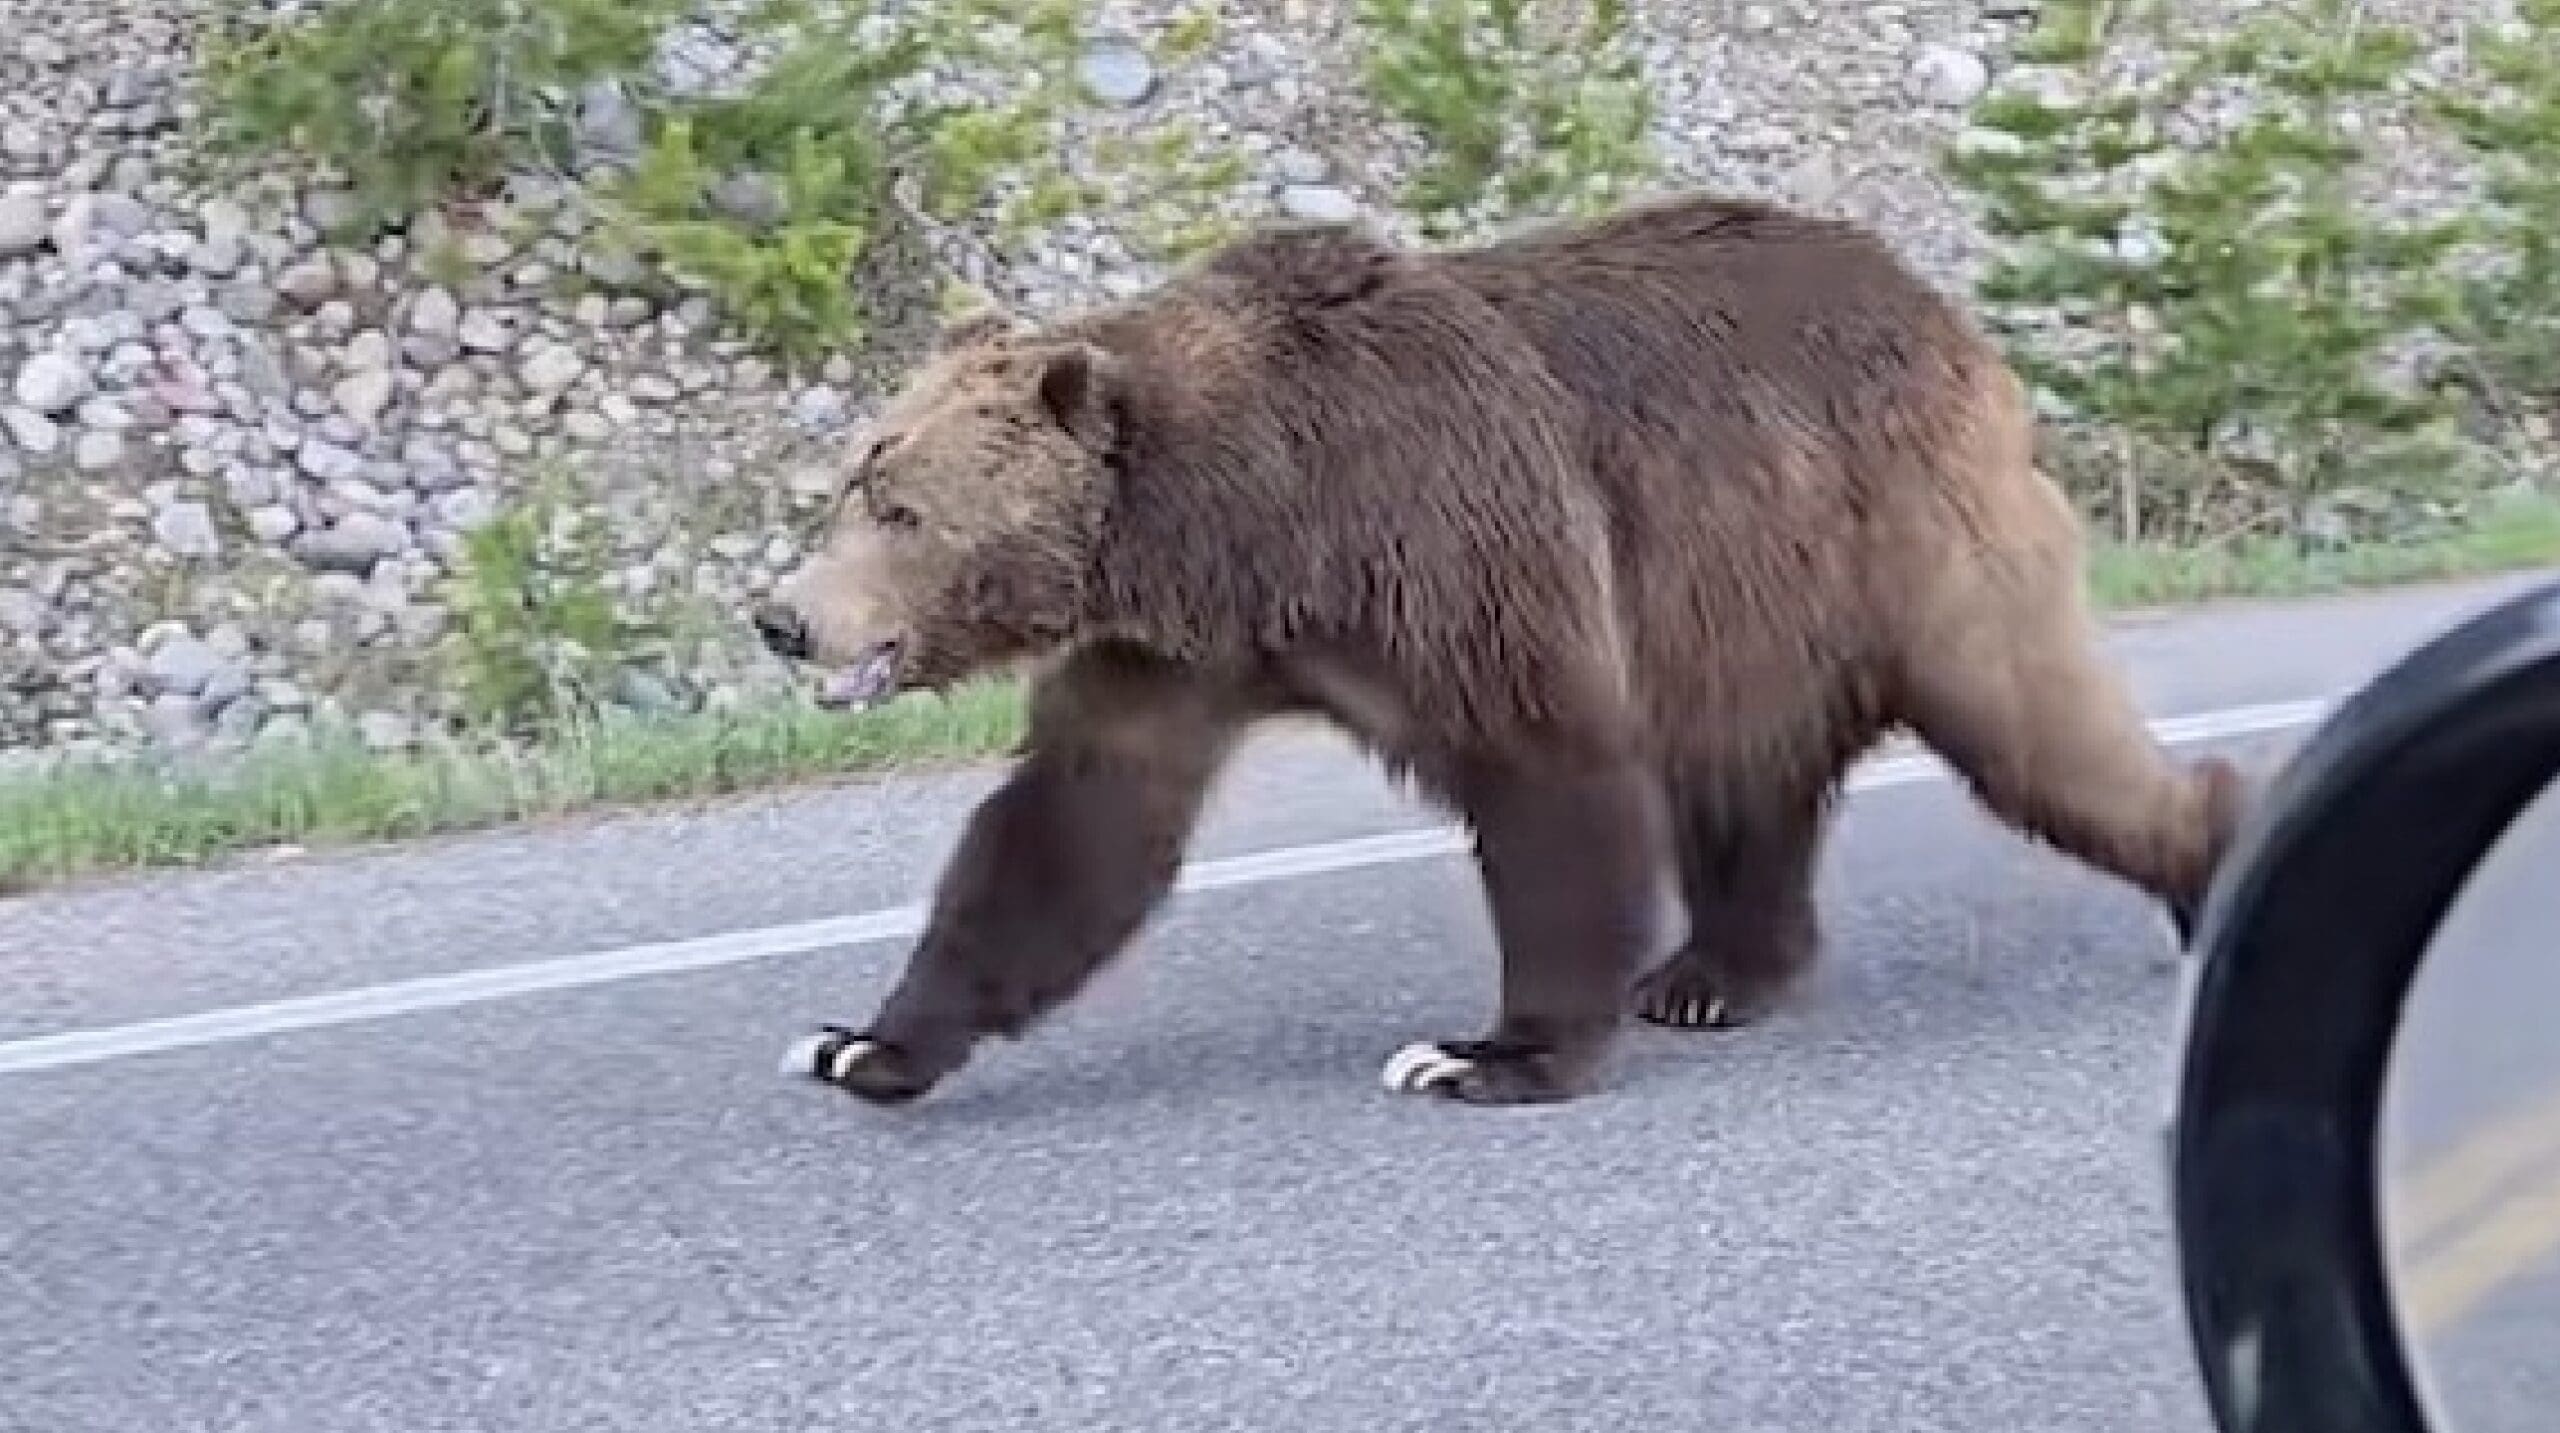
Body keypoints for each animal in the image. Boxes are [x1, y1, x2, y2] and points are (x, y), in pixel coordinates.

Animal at [752, 189, 2250, 1110]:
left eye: (900, 504)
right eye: (851, 479)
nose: (782, 616)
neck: (1252, 523)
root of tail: (1937, 306)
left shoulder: (1454, 541)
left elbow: (1549, 769)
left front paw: (1487, 1053)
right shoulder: (1170, 651)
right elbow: (1073, 824)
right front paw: (864, 1039)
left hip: (1902, 540)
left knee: (2035, 727)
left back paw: (2211, 854)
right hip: (1752, 605)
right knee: (1744, 778)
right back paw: (1710, 976)